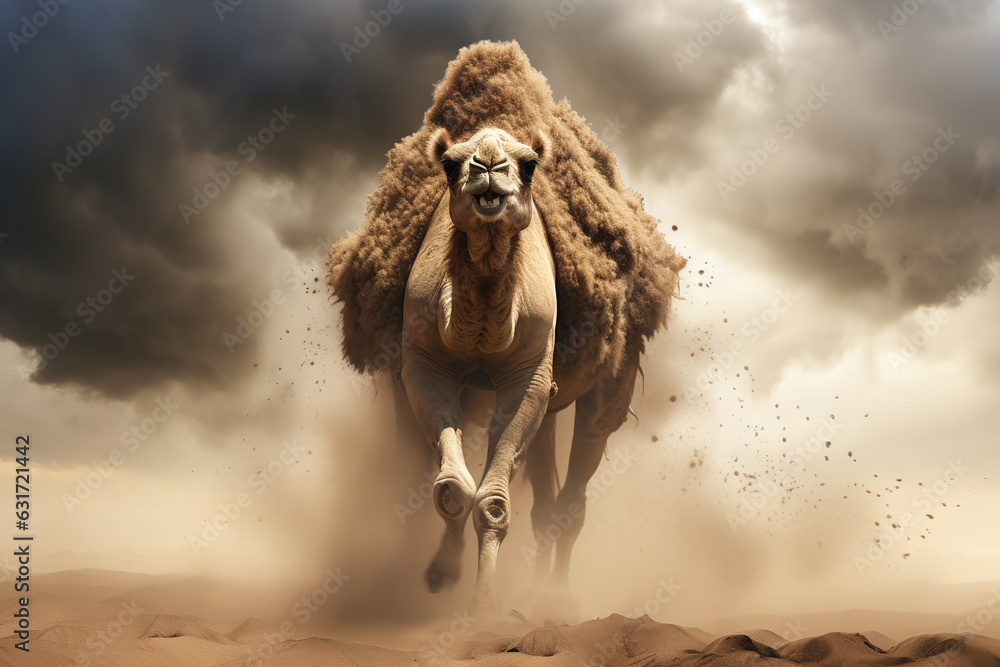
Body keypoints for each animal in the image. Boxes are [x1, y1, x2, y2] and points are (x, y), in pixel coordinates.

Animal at [328, 40, 685, 614]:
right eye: (450, 162)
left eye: (530, 163)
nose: (488, 165)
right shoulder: (422, 366)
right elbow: (452, 487)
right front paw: (441, 574)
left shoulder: (528, 373)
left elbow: (492, 501)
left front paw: (484, 608)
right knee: (538, 493)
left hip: (609, 383)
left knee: (573, 494)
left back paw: (552, 597)